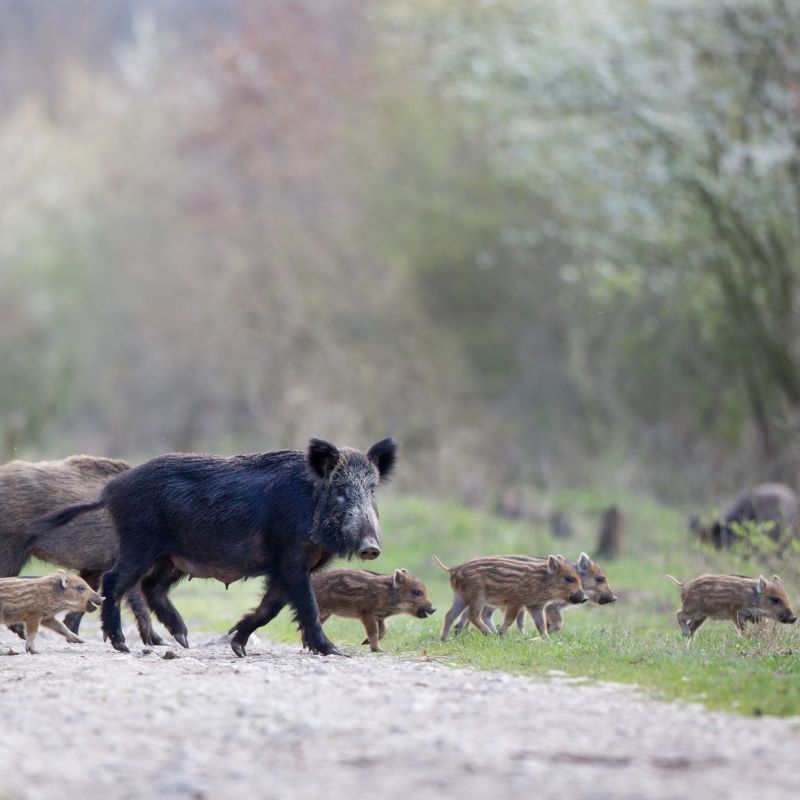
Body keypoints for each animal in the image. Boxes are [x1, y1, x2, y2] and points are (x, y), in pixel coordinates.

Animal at [36, 437, 398, 657]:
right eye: (339, 489)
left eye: (372, 489)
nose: (371, 547)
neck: (309, 503)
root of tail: (112, 491)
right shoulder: (290, 557)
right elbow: (305, 605)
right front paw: (335, 652)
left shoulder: (289, 565)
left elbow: (271, 607)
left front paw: (238, 645)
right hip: (140, 544)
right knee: (115, 581)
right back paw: (123, 645)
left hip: (171, 559)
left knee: (151, 587)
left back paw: (182, 640)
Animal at [435, 554, 588, 641]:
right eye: (569, 578)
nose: (585, 598)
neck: (542, 582)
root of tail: (453, 569)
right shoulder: (516, 601)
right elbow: (510, 619)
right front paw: (501, 635)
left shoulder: (535, 605)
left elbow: (541, 624)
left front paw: (547, 639)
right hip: (477, 595)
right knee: (473, 615)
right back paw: (490, 634)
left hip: (461, 596)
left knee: (449, 615)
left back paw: (443, 639)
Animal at [453, 553, 617, 635]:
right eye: (600, 578)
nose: (614, 598)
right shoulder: (552, 606)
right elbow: (558, 622)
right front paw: (551, 634)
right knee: (478, 613)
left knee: (481, 613)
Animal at [667, 573, 797, 644]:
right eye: (775, 599)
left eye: (787, 598)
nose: (794, 618)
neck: (754, 597)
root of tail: (684, 585)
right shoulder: (737, 613)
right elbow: (743, 629)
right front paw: (748, 639)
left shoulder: (755, 616)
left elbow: (762, 627)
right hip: (693, 609)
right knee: (679, 614)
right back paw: (685, 633)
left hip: (701, 616)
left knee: (691, 627)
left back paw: (688, 639)